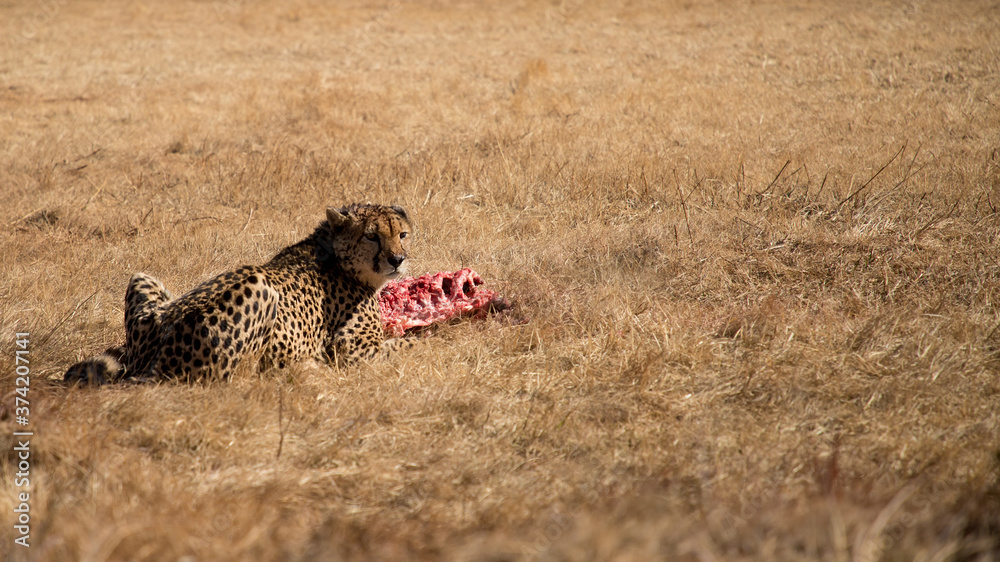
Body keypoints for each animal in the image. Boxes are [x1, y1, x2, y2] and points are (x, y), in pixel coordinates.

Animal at [64, 203, 413, 384]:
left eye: (403, 234)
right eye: (371, 236)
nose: (398, 259)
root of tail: (146, 362)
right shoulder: (354, 351)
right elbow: (413, 344)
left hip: (142, 279)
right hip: (258, 285)